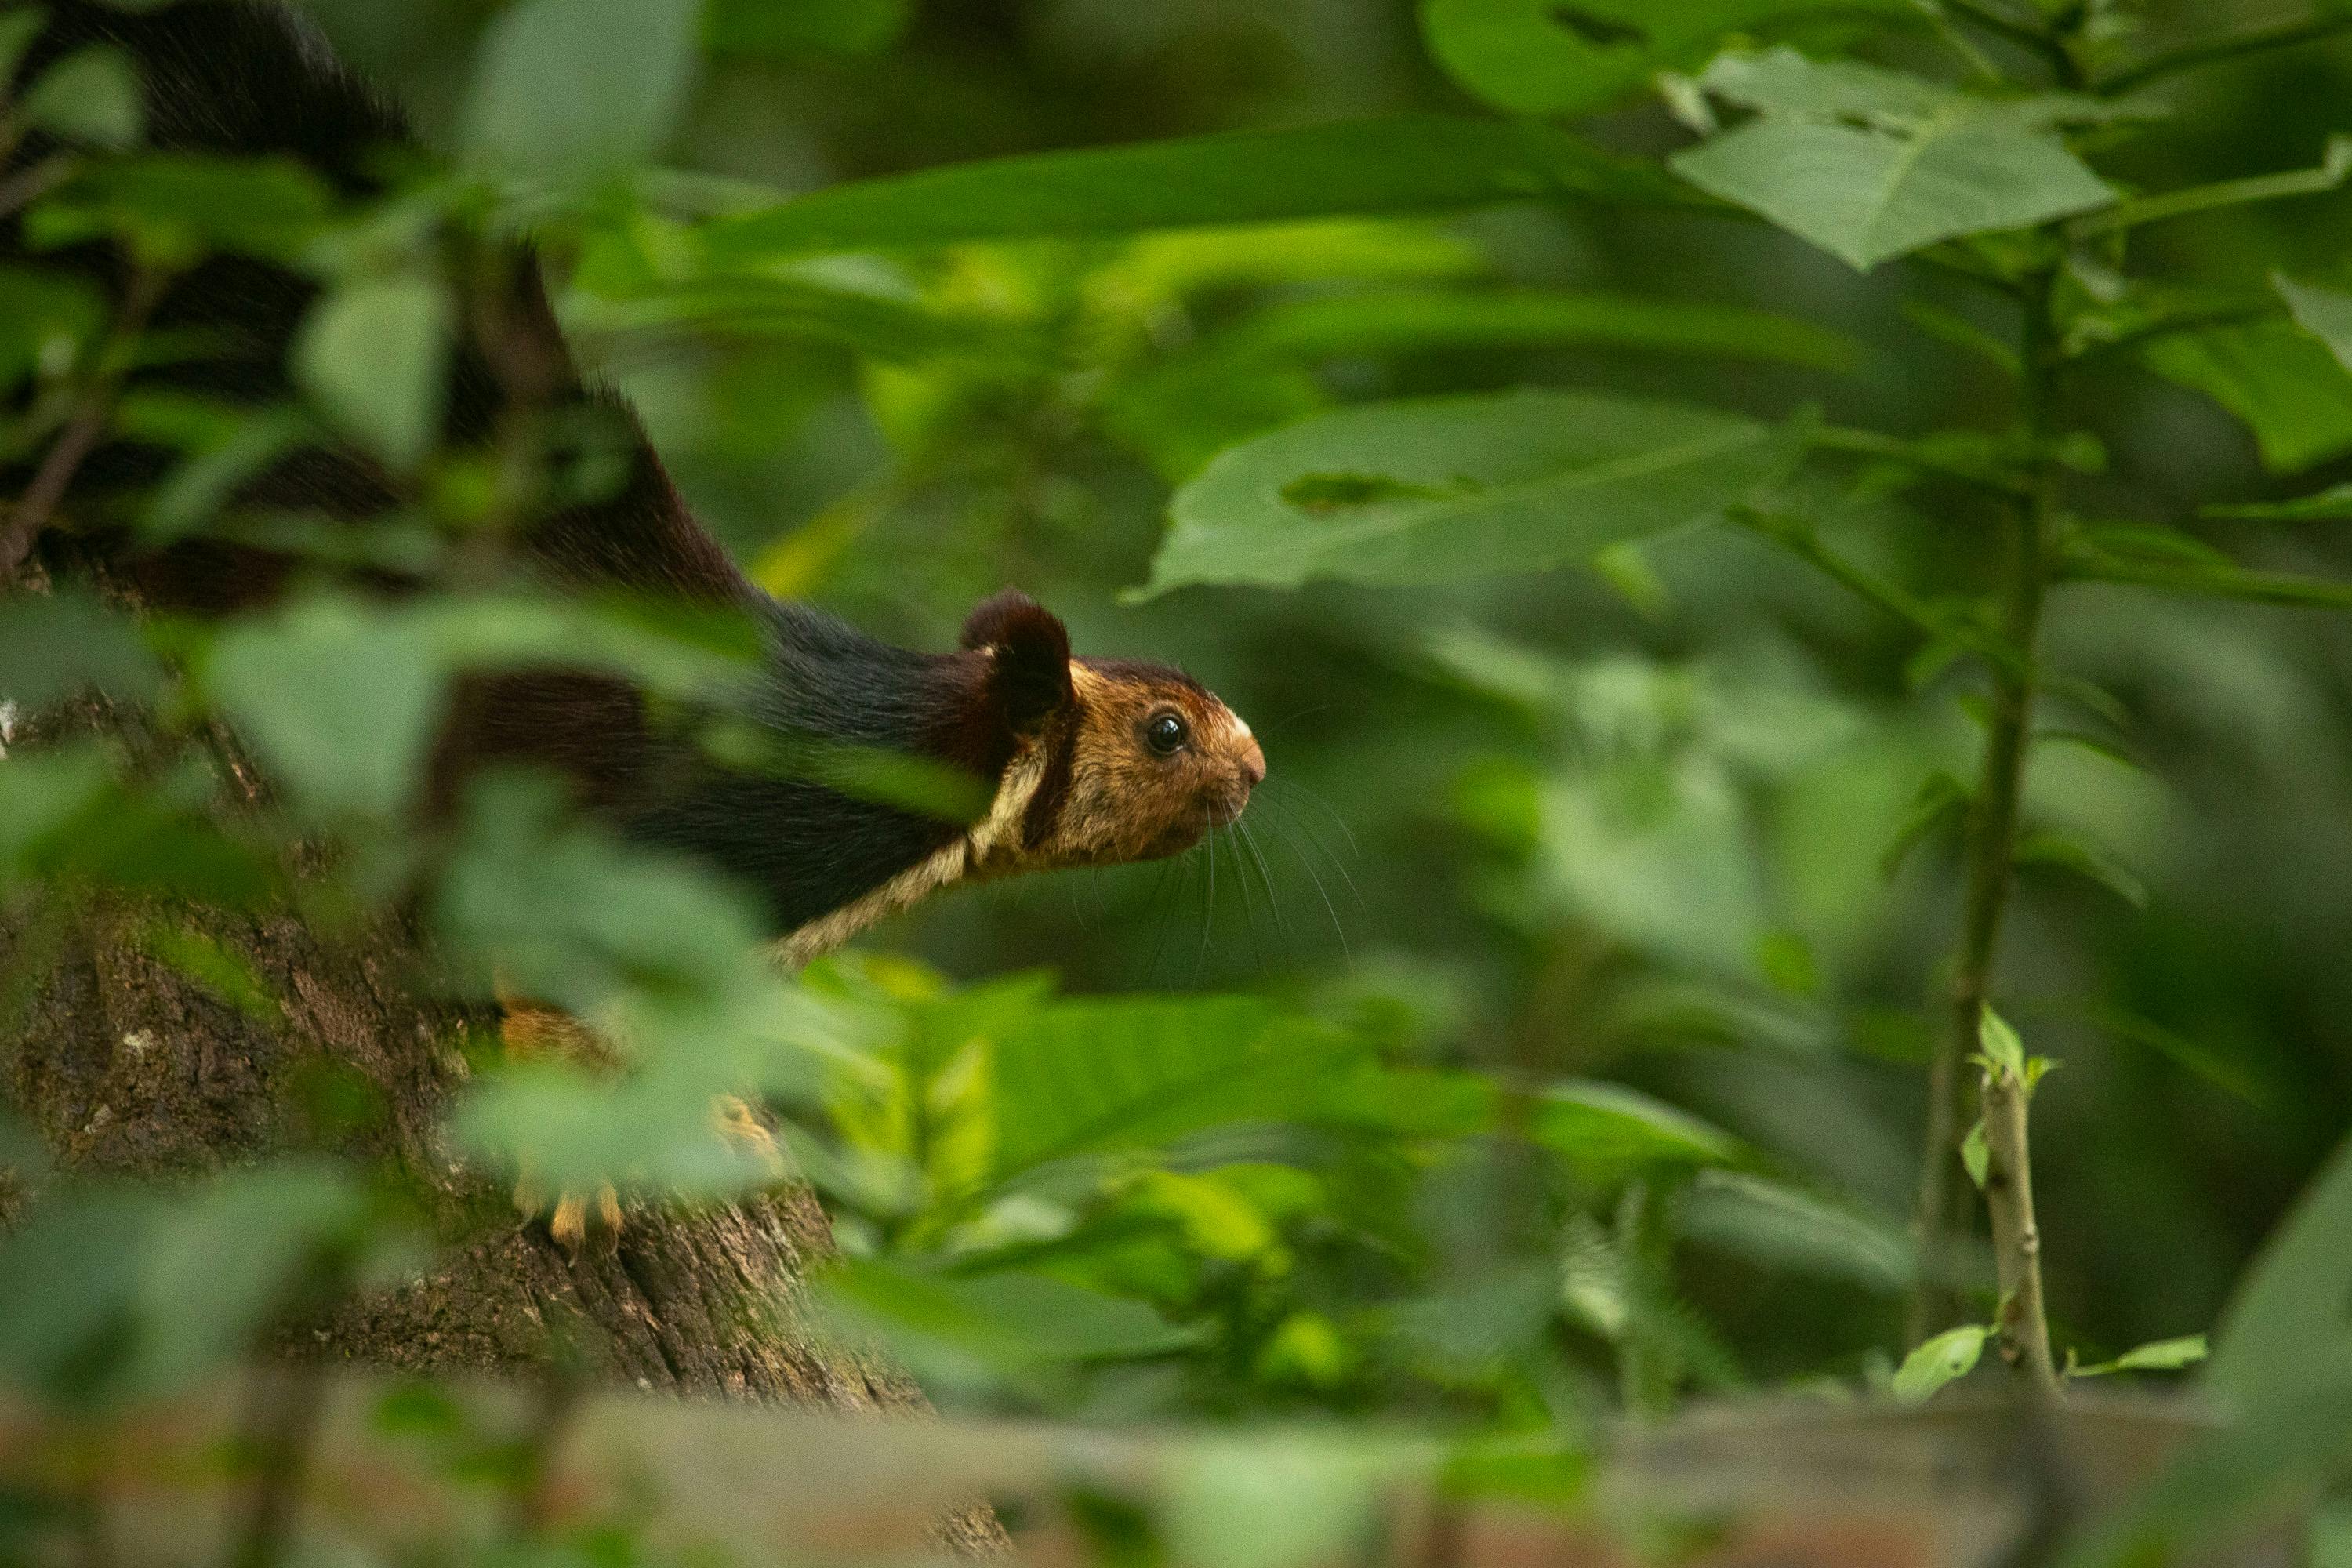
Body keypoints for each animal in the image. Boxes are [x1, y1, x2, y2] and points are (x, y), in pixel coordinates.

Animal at [9, 2, 1266, 1238]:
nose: (1255, 767)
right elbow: (550, 956)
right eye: (1167, 729)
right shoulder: (660, 831)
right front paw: (577, 1158)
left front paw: (723, 1117)